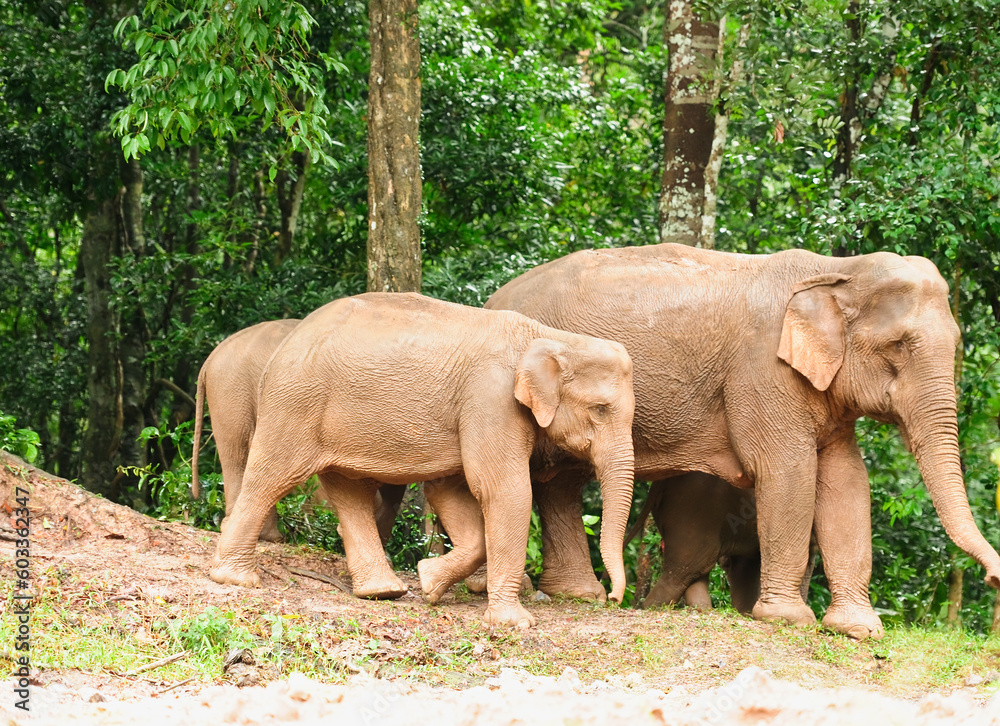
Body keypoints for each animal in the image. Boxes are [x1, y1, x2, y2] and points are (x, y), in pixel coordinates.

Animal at [483, 242, 1000, 639]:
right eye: (898, 346)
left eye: (956, 342)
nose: (994, 577)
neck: (837, 269)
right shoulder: (762, 372)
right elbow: (787, 469)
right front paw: (788, 619)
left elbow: (847, 481)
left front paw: (859, 629)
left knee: (560, 482)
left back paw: (578, 593)